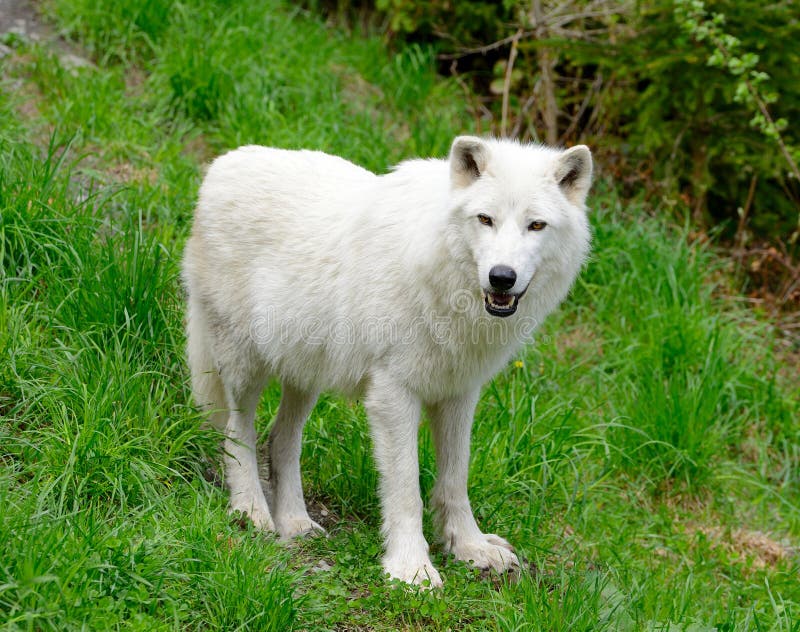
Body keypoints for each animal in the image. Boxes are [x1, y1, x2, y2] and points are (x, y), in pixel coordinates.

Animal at [182, 136, 592, 587]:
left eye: (536, 225)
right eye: (486, 219)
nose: (502, 277)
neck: (445, 283)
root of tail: (223, 163)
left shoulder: (459, 393)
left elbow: (455, 479)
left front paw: (470, 547)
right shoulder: (394, 394)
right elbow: (406, 489)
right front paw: (411, 568)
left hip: (305, 374)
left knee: (281, 439)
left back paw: (295, 522)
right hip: (244, 366)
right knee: (238, 432)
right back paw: (250, 511)